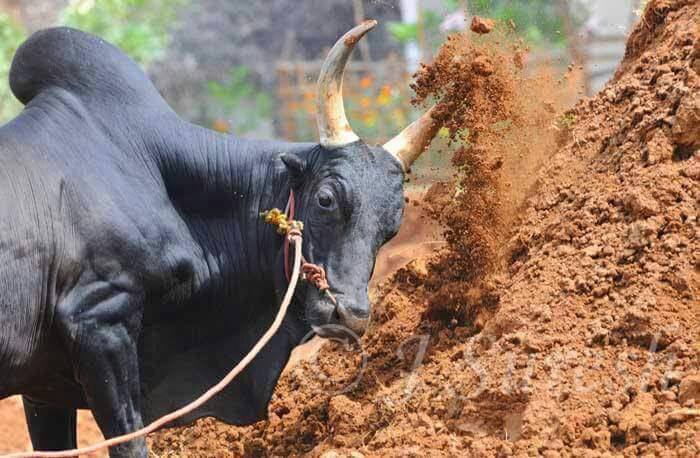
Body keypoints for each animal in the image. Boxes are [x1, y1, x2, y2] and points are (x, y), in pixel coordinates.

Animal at [0, 21, 438, 457]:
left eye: (392, 227)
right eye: (326, 199)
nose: (350, 315)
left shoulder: (44, 389)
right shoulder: (100, 325)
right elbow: (131, 442)